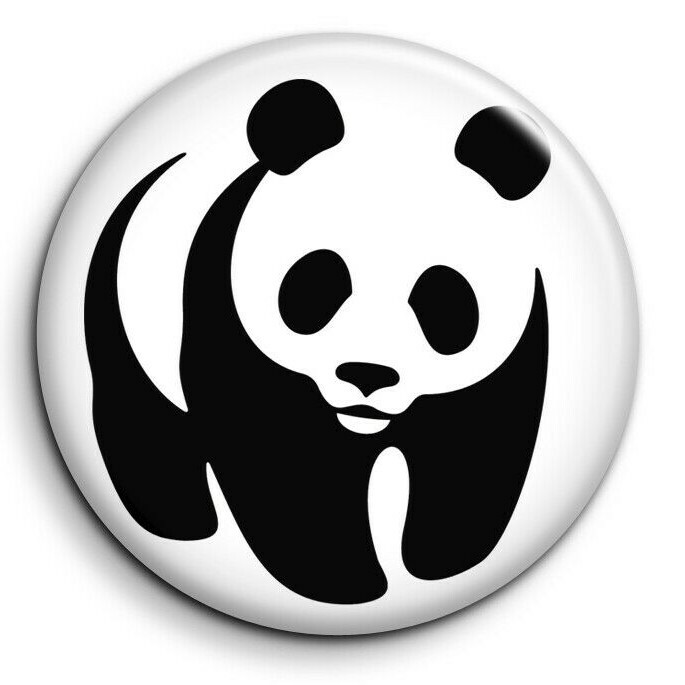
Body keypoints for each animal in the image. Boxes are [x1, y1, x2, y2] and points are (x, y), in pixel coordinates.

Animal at [85, 79, 549, 605]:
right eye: (317, 283)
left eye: (444, 298)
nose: (368, 375)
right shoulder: (229, 325)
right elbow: (289, 468)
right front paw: (344, 585)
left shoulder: (507, 353)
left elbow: (473, 447)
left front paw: (441, 564)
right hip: (119, 314)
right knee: (142, 421)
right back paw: (180, 524)